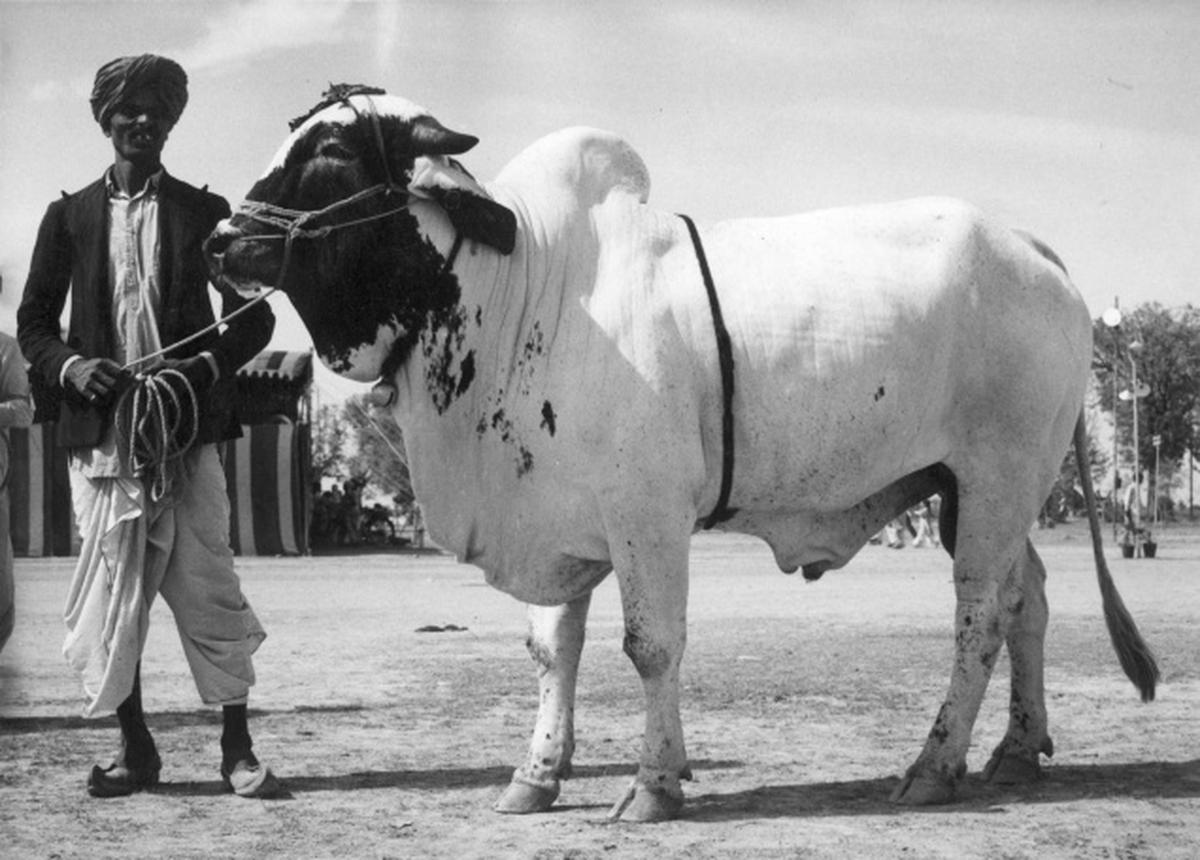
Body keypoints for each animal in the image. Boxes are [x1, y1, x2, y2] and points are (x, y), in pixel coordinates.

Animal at [204, 86, 1158, 822]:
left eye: (331, 149)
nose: (219, 240)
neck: (521, 292)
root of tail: (1029, 247)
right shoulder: (562, 513)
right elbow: (554, 650)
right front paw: (535, 777)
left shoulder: (648, 516)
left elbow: (650, 645)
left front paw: (655, 785)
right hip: (974, 493)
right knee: (1026, 600)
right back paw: (1016, 751)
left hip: (998, 481)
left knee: (978, 619)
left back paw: (933, 766)